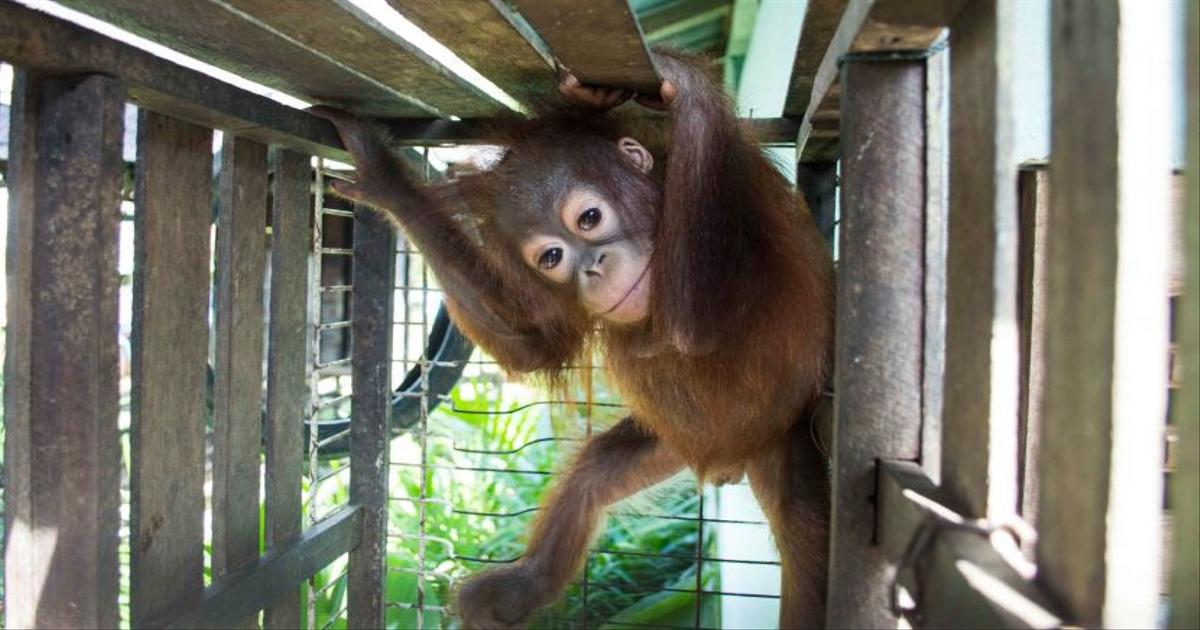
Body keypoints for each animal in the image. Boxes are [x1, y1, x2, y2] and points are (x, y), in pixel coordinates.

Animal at [312, 49, 834, 629]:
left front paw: (677, 84)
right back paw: (519, 588)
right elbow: (533, 346)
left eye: (589, 218)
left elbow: (695, 328)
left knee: (809, 536)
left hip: (789, 437)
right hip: (669, 440)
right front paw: (387, 181)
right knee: (595, 472)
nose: (594, 267)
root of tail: (737, 459)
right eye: (552, 258)